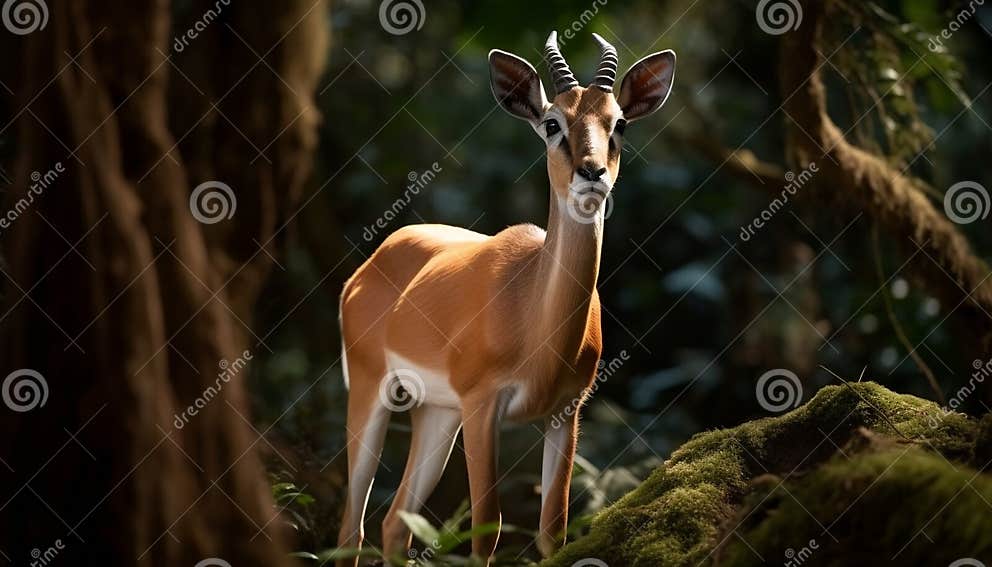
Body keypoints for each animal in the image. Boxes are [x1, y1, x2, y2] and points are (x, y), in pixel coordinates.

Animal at [336, 32, 675, 566]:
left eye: (619, 122)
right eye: (552, 122)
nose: (592, 172)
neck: (535, 324)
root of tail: (369, 265)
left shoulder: (567, 409)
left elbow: (553, 529)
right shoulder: (483, 404)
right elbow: (486, 528)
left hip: (437, 413)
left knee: (393, 522)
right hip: (371, 388)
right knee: (352, 525)